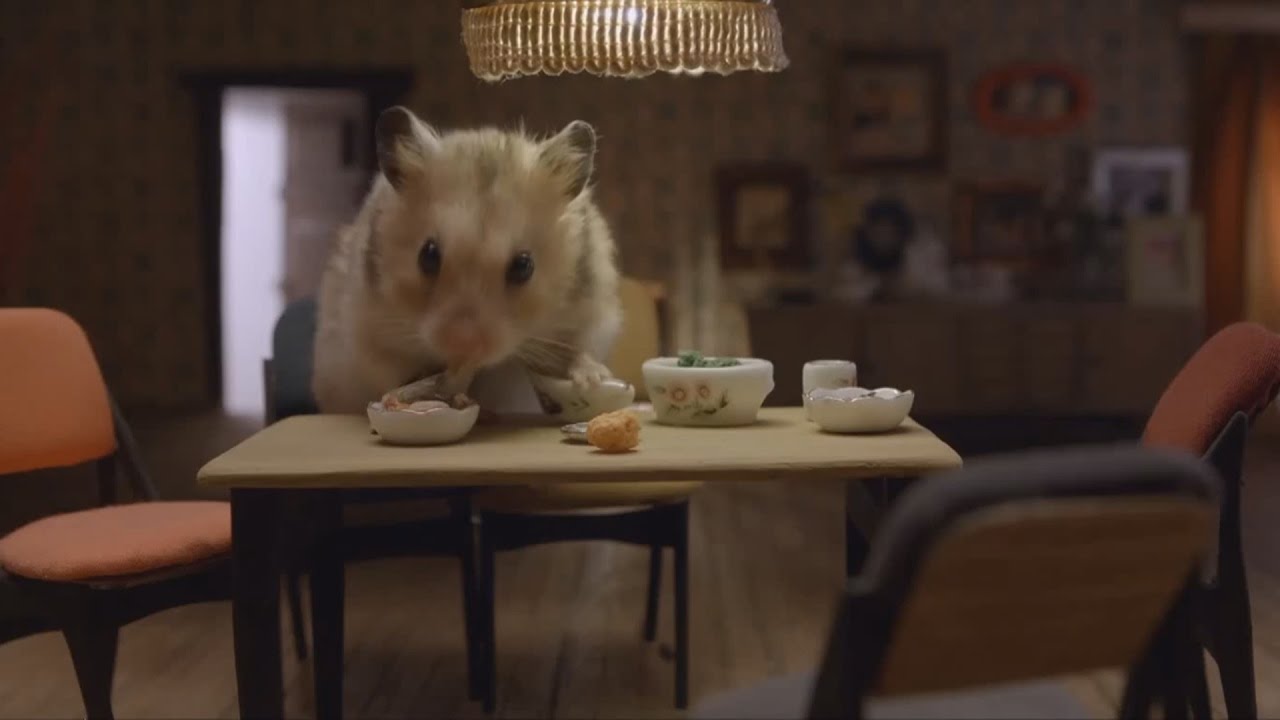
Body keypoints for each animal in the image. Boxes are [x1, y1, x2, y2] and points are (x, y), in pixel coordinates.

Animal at [311, 106, 623, 414]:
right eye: (427, 255)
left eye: (524, 266)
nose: (463, 345)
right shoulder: (367, 329)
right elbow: (388, 366)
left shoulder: (595, 314)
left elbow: (579, 349)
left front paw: (591, 381)